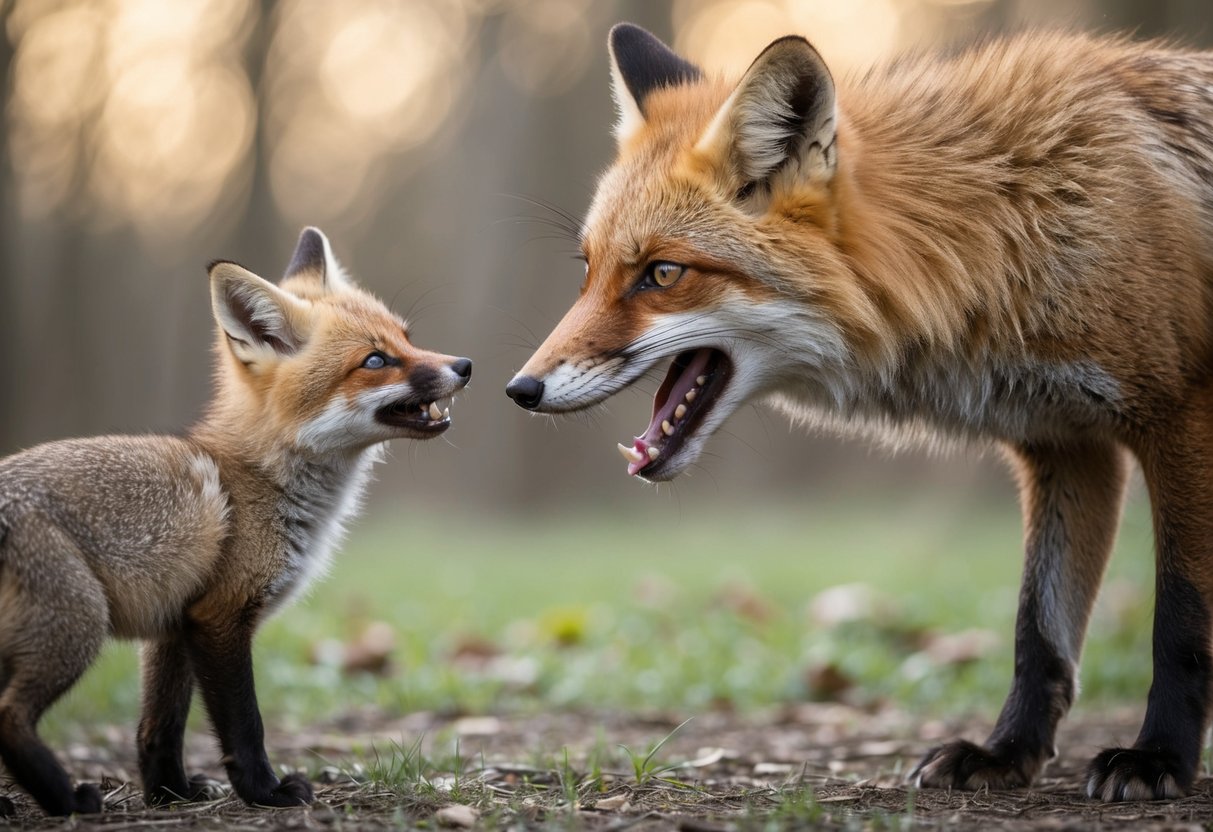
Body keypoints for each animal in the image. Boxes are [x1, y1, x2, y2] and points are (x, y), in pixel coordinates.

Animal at [0, 228, 472, 816]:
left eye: (408, 340)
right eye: (375, 360)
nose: (464, 366)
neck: (262, 481)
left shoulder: (175, 624)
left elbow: (159, 727)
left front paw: (169, 795)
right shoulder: (219, 616)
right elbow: (245, 724)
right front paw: (266, 793)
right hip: (77, 626)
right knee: (9, 718)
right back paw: (67, 799)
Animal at [506, 23, 1213, 801]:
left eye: (661, 273)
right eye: (588, 270)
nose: (520, 390)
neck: (1014, 225)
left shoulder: (1181, 416)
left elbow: (1180, 622)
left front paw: (1158, 759)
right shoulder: (1065, 446)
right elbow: (1038, 632)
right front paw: (1006, 754)